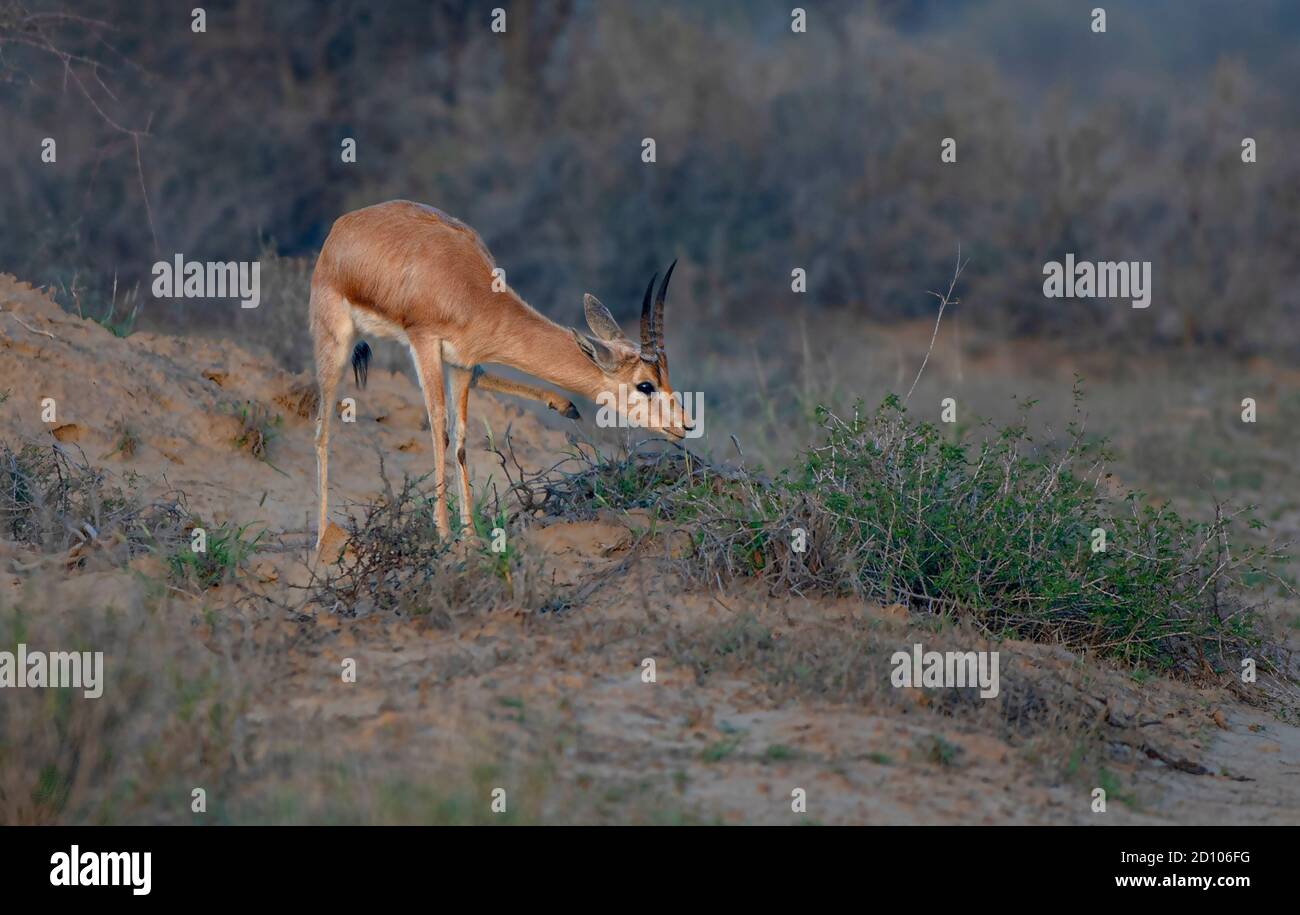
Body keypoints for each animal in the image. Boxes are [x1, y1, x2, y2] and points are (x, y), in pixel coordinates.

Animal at [309, 199, 693, 551]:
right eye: (645, 384)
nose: (685, 425)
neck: (471, 290)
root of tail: (339, 230)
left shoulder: (461, 362)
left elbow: (460, 439)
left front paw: (467, 536)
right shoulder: (424, 343)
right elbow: (438, 430)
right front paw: (444, 534)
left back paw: (564, 404)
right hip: (335, 345)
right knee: (322, 432)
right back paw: (321, 543)